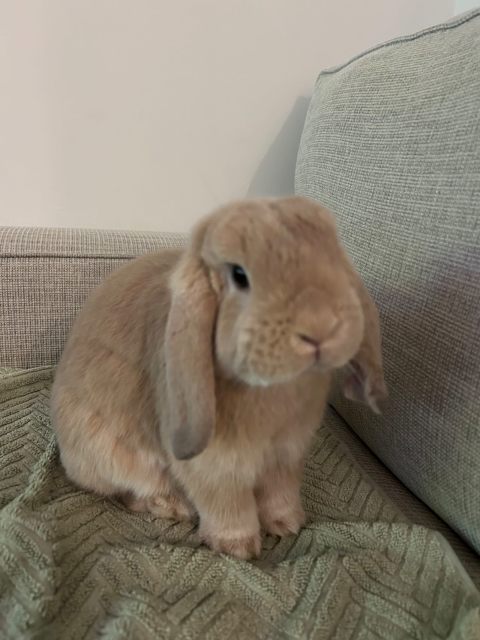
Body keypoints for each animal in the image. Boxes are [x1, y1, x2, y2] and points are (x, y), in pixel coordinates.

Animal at [51, 196, 387, 560]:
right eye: (239, 275)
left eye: (333, 252)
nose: (321, 325)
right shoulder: (216, 465)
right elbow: (227, 501)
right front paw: (238, 547)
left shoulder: (286, 455)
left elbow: (279, 490)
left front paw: (287, 524)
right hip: (109, 452)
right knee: (128, 491)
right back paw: (173, 506)